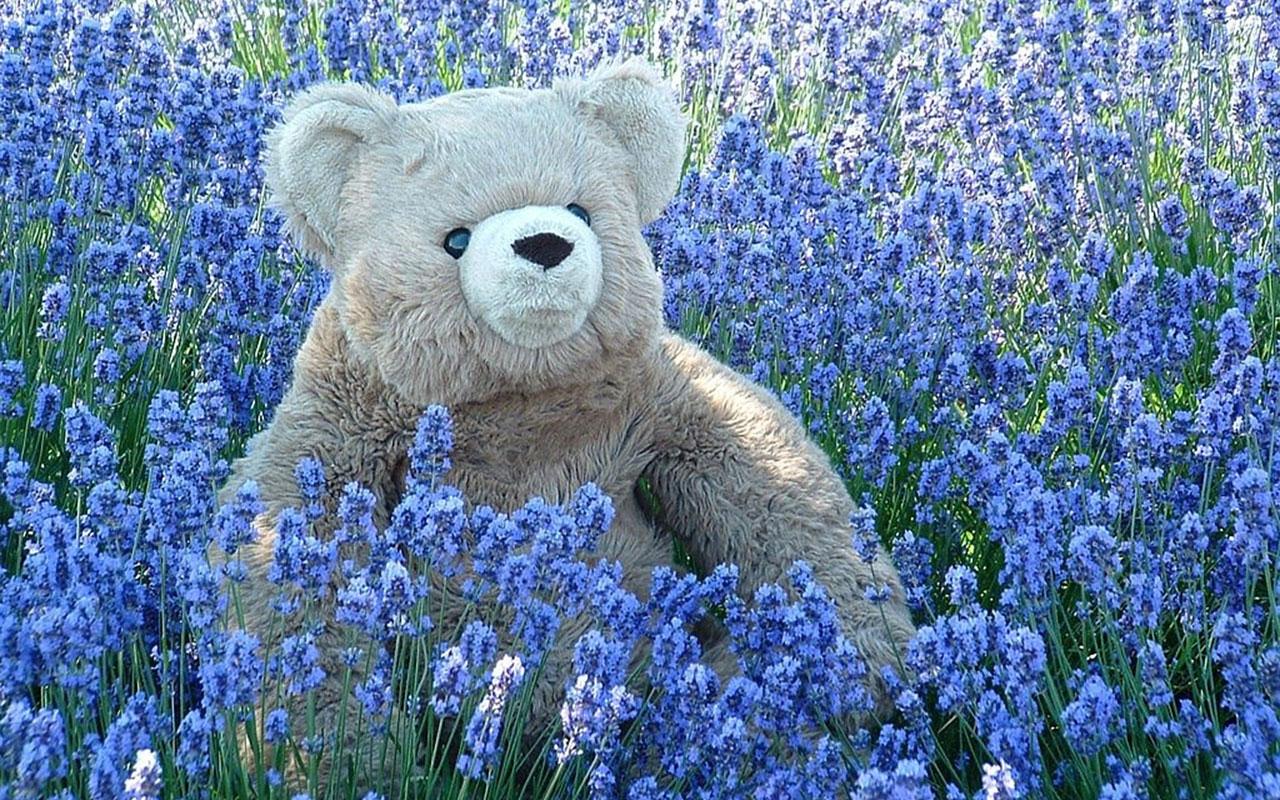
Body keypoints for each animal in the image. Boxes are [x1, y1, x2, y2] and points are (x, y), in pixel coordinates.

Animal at [213, 58, 916, 792]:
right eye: (455, 239)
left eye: (582, 210)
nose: (546, 242)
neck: (521, 399)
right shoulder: (345, 416)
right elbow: (291, 547)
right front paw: (336, 758)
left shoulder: (664, 393)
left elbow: (771, 484)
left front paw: (868, 649)